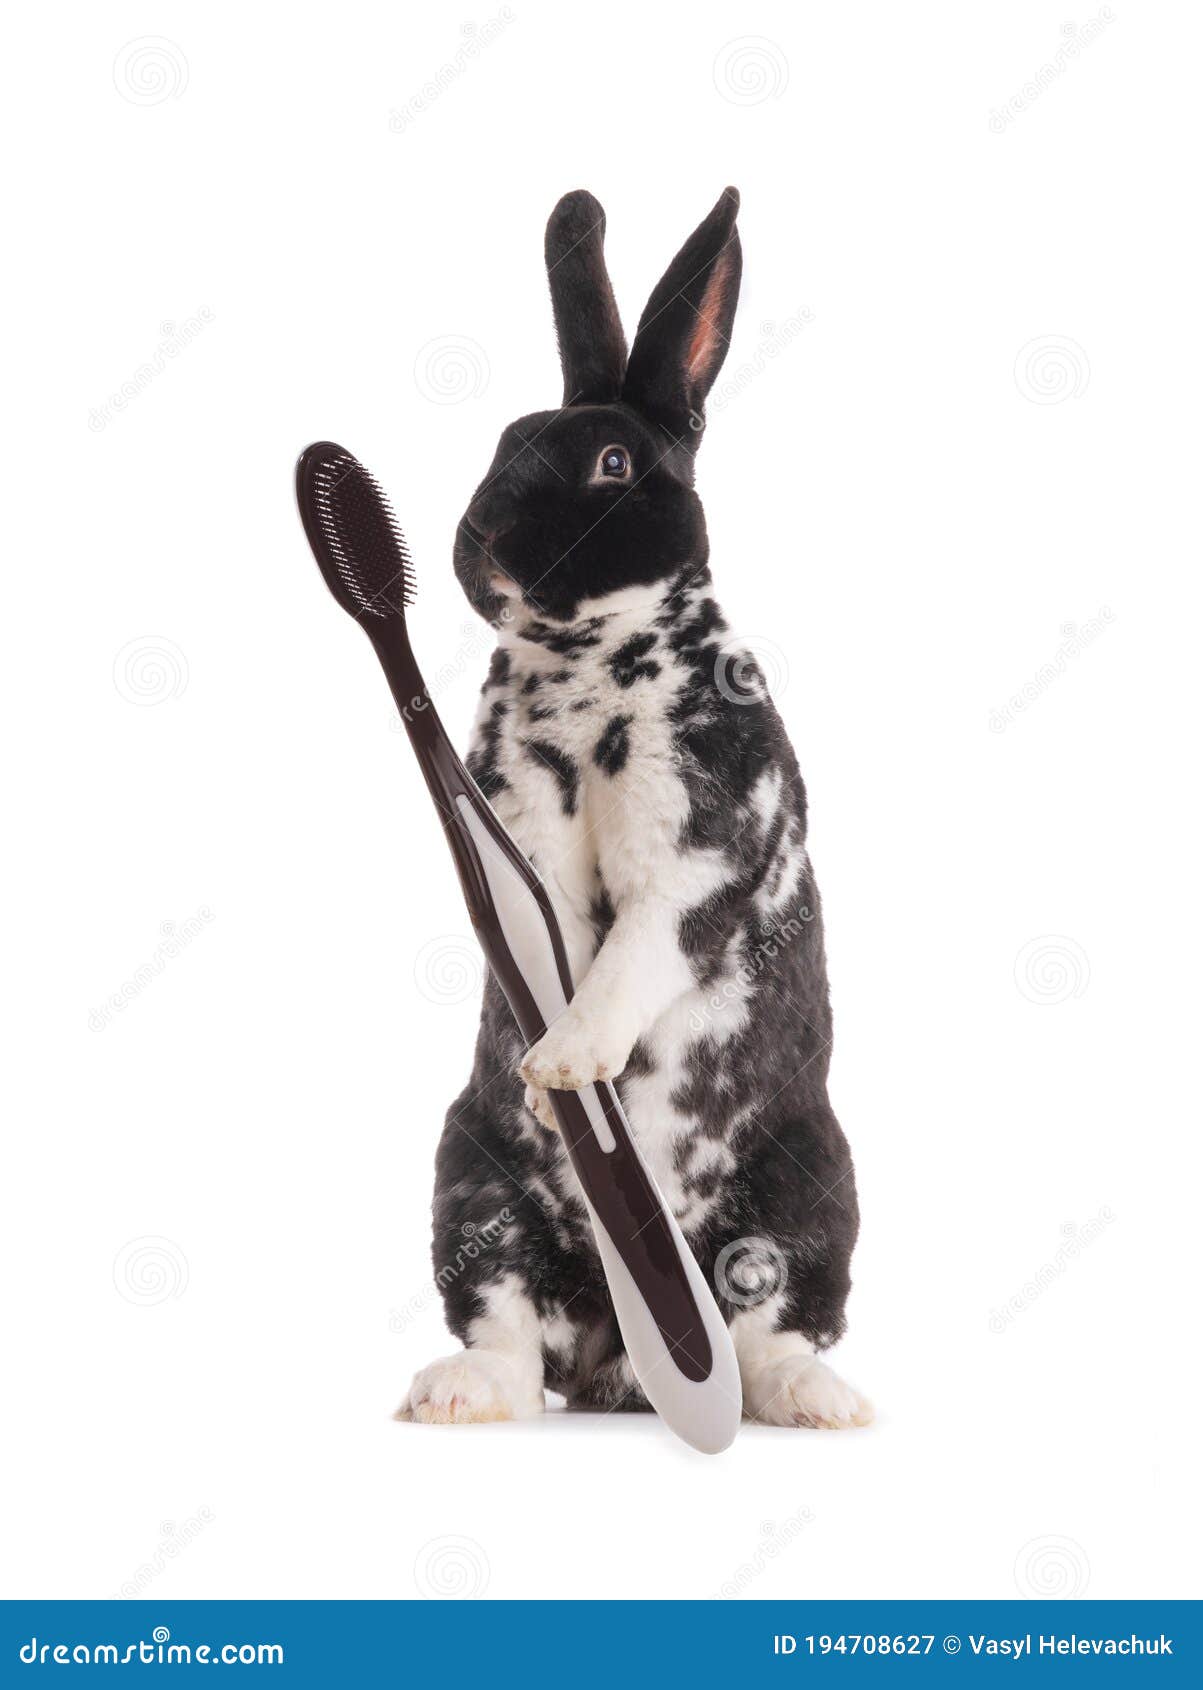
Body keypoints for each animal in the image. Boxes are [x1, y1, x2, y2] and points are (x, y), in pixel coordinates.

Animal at [398, 188, 871, 1432]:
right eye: (502, 443)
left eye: (611, 461)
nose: (479, 538)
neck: (589, 661)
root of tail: (621, 1348)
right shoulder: (518, 838)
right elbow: (551, 936)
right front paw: (550, 1063)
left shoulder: (699, 853)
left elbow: (633, 956)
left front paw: (565, 1063)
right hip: (474, 1186)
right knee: (509, 1328)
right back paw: (459, 1393)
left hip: (809, 1194)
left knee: (772, 1330)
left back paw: (819, 1399)